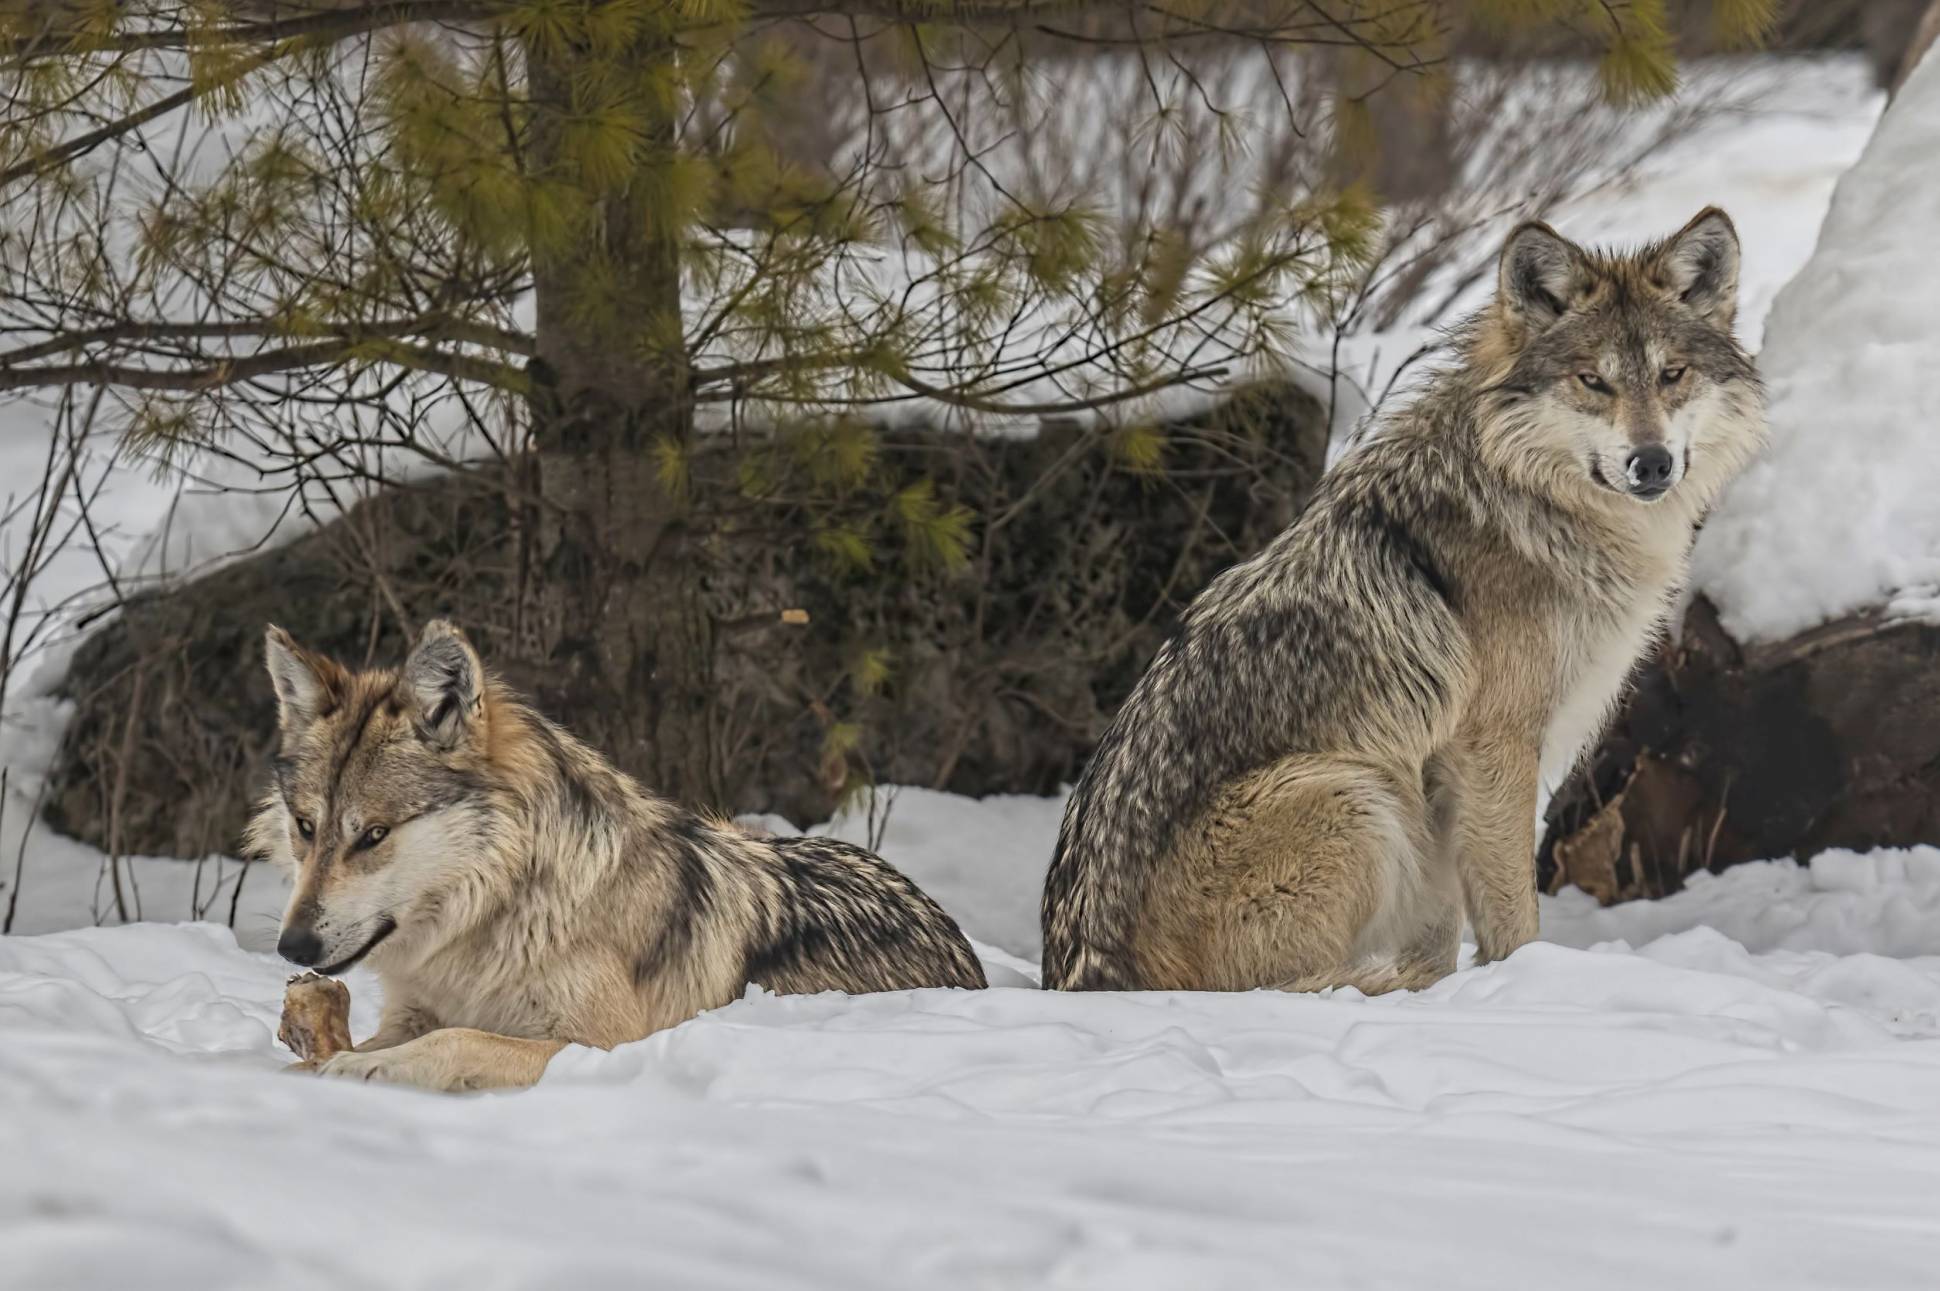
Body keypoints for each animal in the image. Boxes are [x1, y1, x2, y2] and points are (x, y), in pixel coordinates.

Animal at [245, 620, 985, 1091]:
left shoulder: (600, 1045)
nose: (292, 947)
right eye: (307, 826)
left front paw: (356, 1068)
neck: (494, 920)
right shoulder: (411, 1011)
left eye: (373, 834)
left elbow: (457, 1040)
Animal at [1041, 208, 1766, 994]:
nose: (1651, 463)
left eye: (1672, 374)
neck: (1525, 498)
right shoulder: (1490, 749)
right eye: (1592, 381)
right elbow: (1512, 916)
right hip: (1354, 790)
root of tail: (1088, 973)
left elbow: (1444, 931)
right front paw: (1521, 985)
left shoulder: (1454, 781)